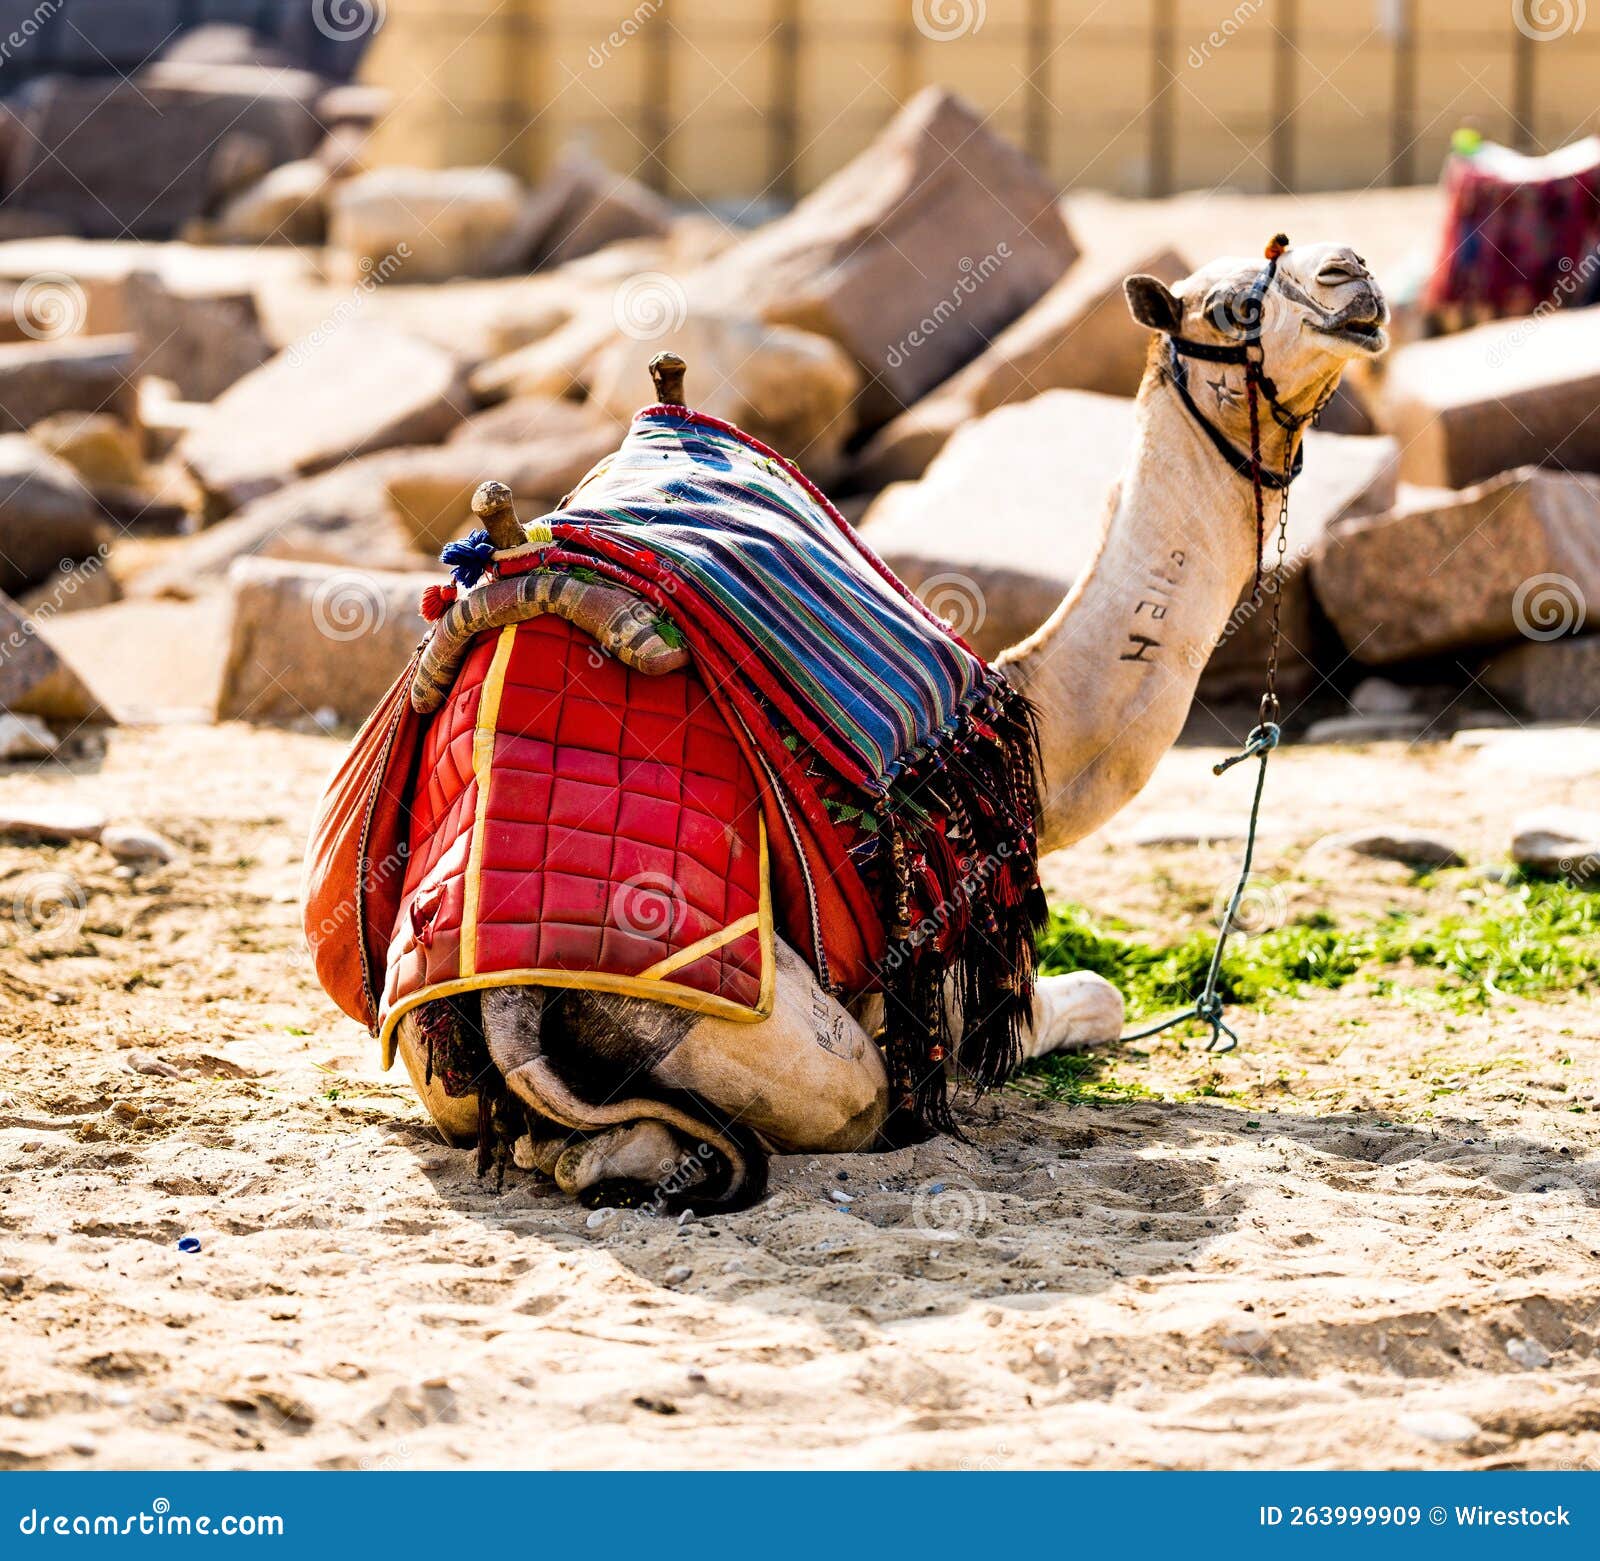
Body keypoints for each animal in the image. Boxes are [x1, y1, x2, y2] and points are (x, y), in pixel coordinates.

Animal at [391, 241, 1388, 1209]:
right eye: (1234, 306)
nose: (1356, 278)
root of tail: (509, 1000)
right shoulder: (944, 974)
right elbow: (1085, 997)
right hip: (772, 1036)